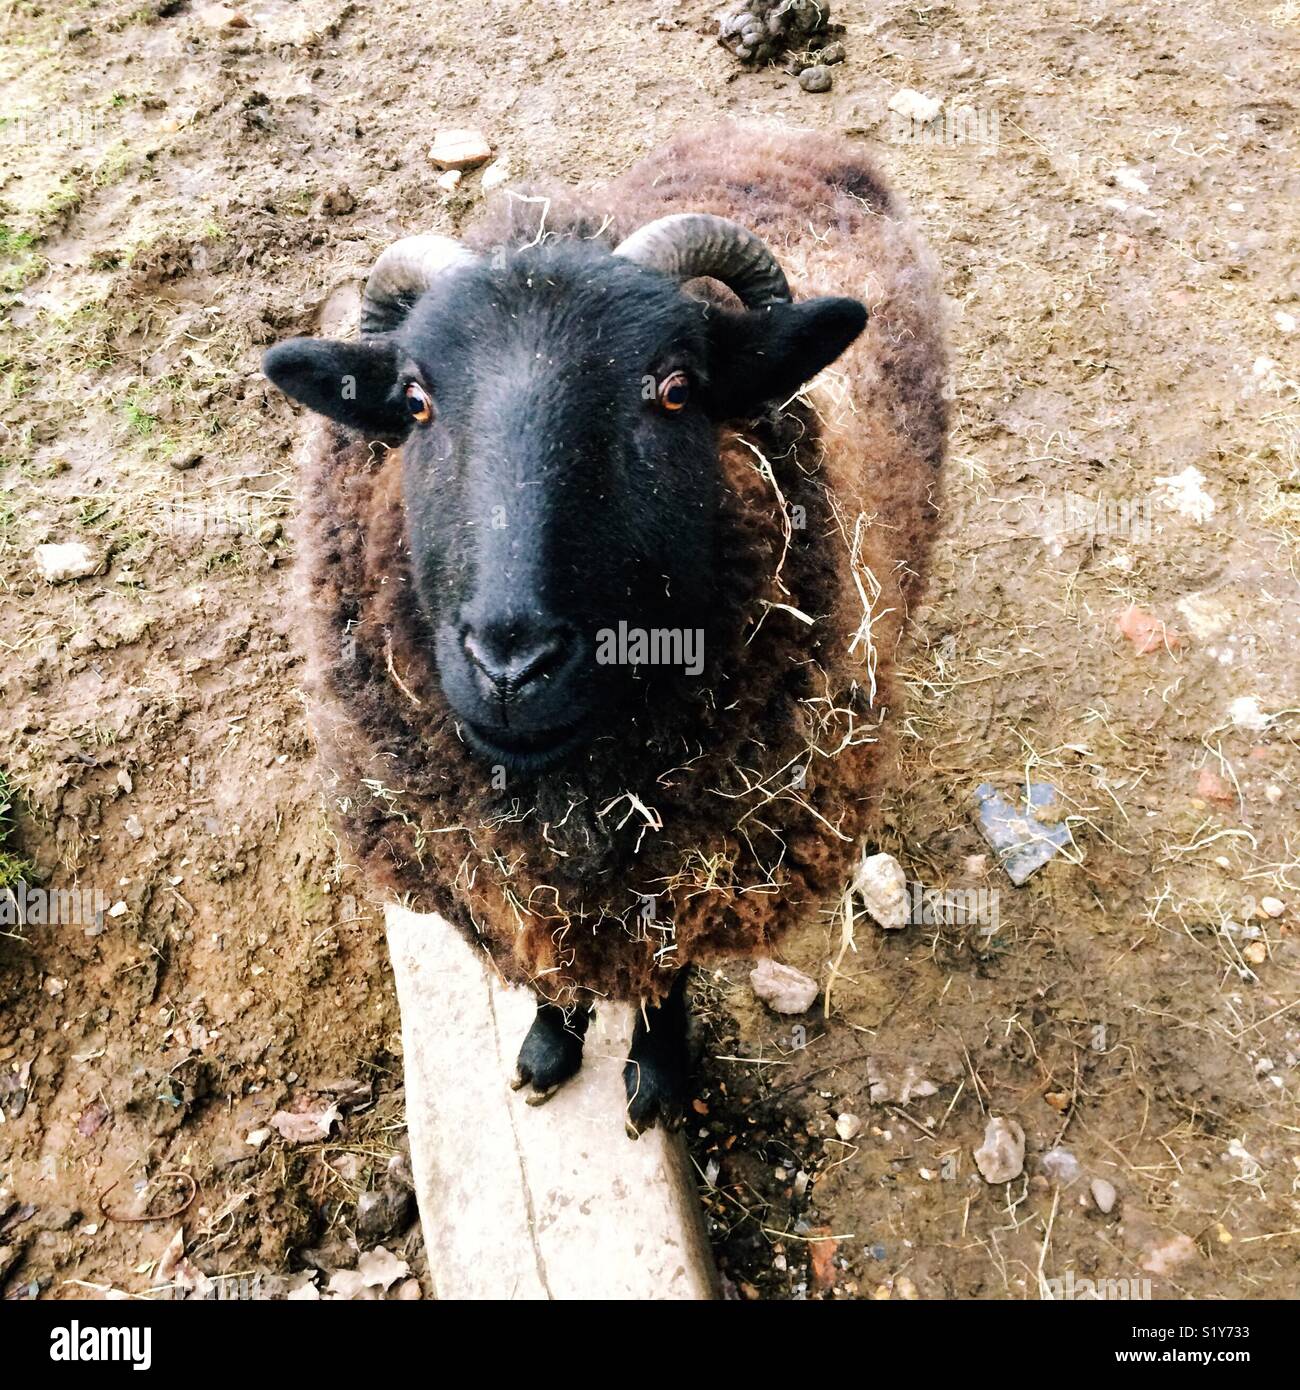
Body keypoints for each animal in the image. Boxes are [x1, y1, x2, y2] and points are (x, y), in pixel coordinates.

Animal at [262, 125, 947, 1133]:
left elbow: (665, 978)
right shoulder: (496, 888)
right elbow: (550, 973)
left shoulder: (696, 882)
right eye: (417, 401)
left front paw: (655, 1077)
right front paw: (548, 1052)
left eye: (675, 389)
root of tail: (778, 131)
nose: (512, 663)